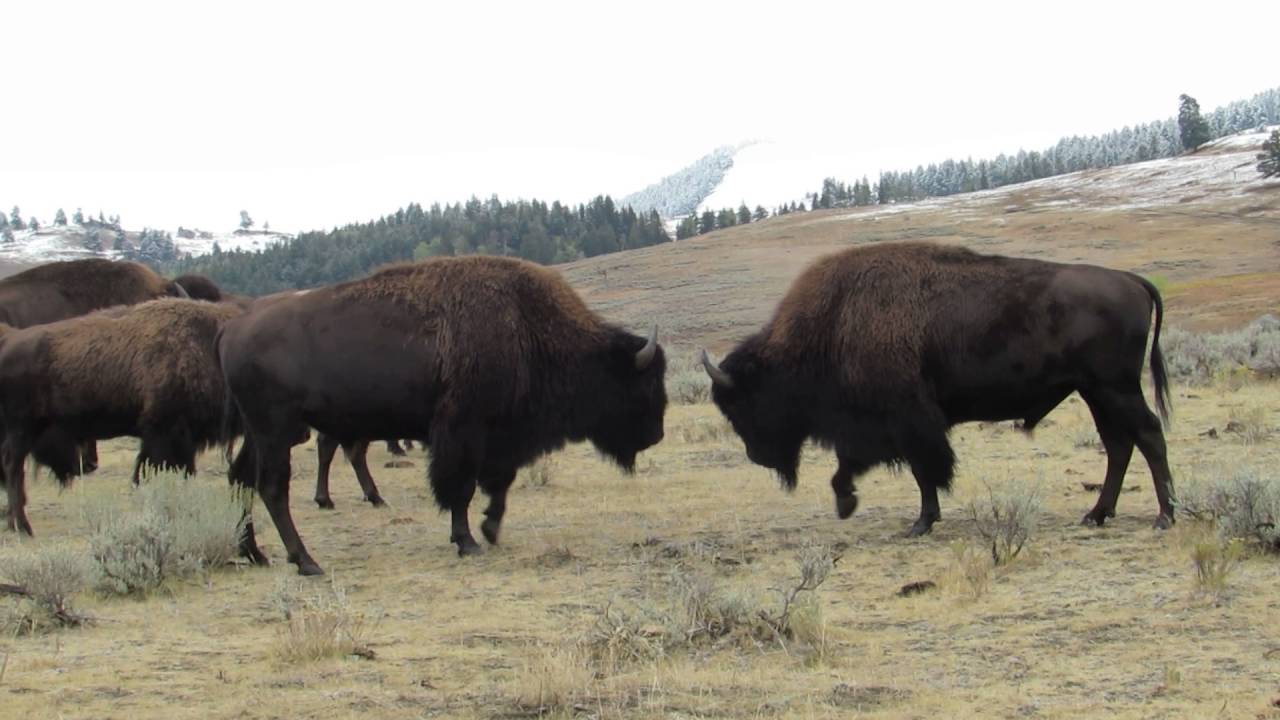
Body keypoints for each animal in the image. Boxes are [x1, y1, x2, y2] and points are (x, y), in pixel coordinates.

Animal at [0, 299, 243, 534]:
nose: (90, 464)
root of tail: (9, 343)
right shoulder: (168, 434)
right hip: (23, 429)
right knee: (13, 467)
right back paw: (22, 526)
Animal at [219, 255, 668, 575]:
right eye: (643, 385)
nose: (657, 434)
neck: (527, 325)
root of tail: (233, 326)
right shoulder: (463, 432)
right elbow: (461, 488)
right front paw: (467, 541)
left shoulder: (497, 437)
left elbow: (499, 484)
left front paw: (490, 530)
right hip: (276, 431)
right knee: (272, 487)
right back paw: (306, 561)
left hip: (258, 434)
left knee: (242, 478)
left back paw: (255, 553)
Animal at [702, 242, 1175, 536]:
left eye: (746, 402)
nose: (758, 457)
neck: (829, 325)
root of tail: (1131, 280)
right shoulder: (879, 429)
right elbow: (857, 466)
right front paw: (849, 503)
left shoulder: (908, 422)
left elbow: (922, 470)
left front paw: (920, 522)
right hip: (1095, 392)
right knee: (1118, 444)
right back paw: (1097, 515)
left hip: (1116, 388)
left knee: (1148, 435)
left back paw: (1164, 516)